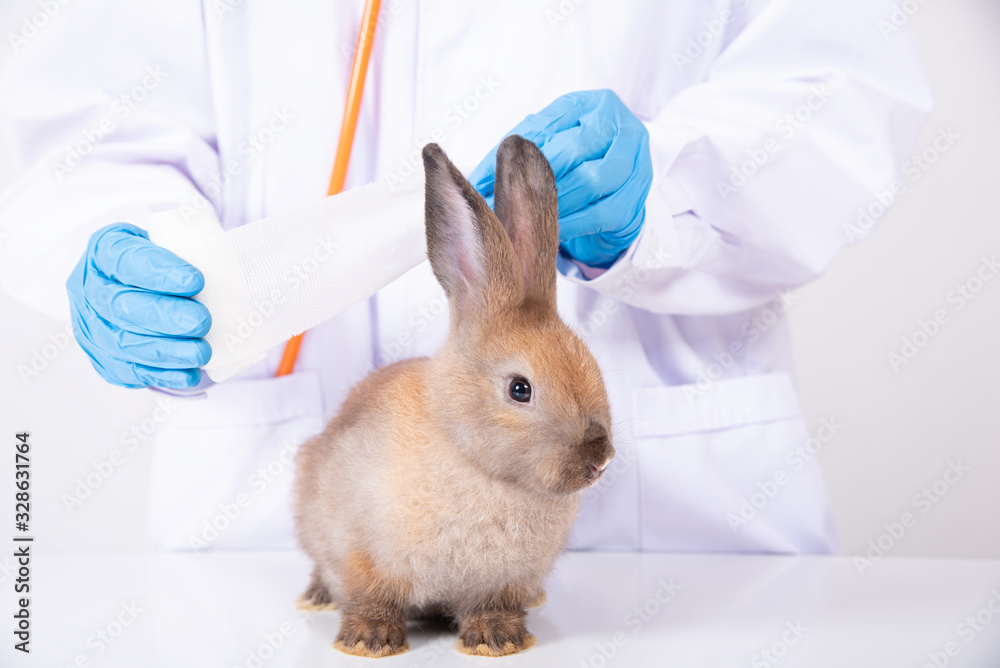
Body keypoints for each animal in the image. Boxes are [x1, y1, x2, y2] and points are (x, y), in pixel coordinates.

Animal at [293, 135, 615, 658]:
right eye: (520, 389)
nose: (600, 458)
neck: (470, 457)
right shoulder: (358, 550)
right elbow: (370, 597)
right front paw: (368, 642)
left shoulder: (503, 582)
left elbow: (493, 606)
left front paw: (496, 641)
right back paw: (317, 598)